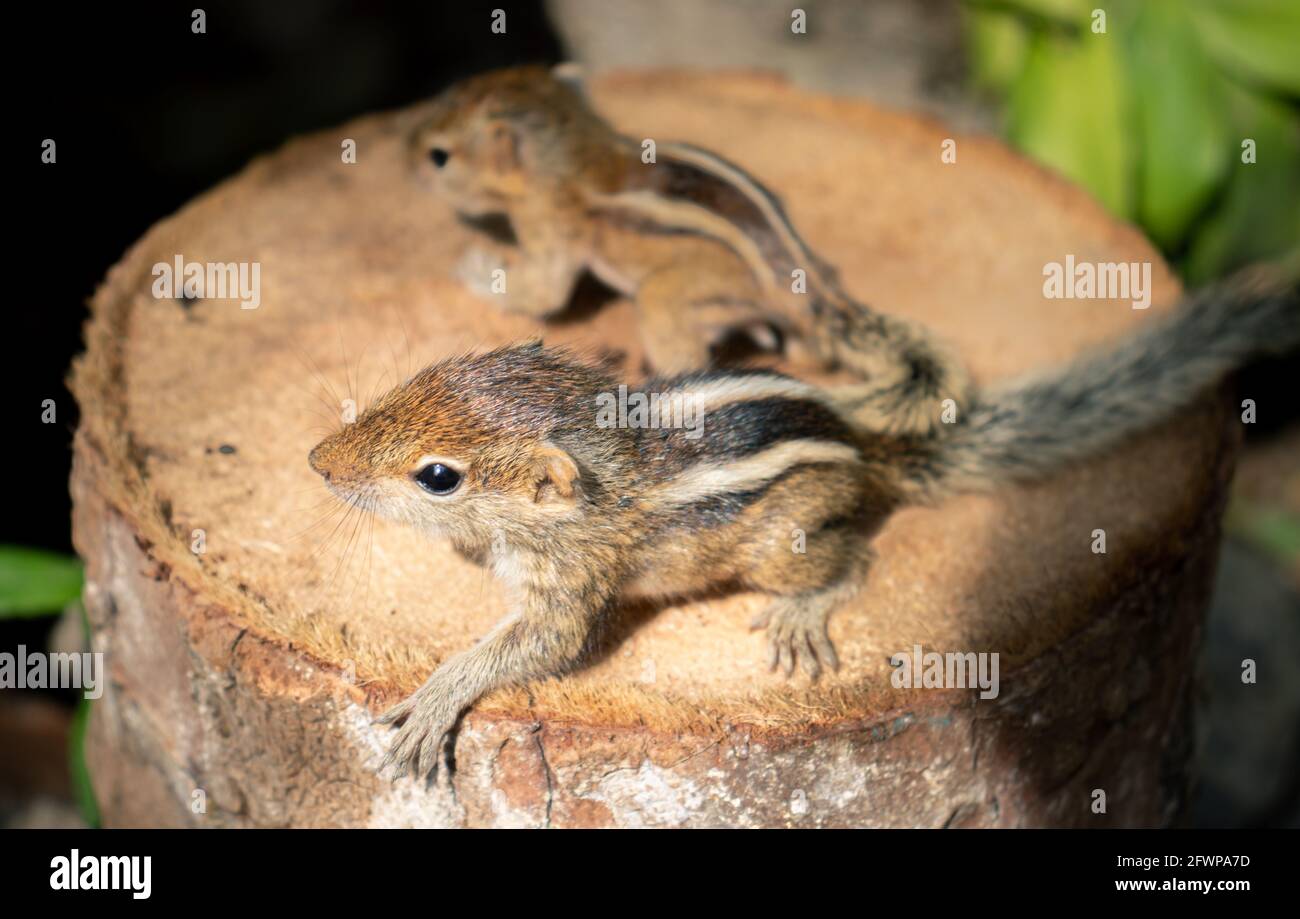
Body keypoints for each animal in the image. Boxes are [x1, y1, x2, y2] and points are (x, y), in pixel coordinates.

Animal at [308, 263, 1298, 779]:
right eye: (418, 380)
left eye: (438, 476)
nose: (318, 461)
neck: (599, 471)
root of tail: (864, 441)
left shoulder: (573, 590)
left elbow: (529, 648)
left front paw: (438, 696)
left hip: (780, 546)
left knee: (849, 559)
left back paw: (802, 612)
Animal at [407, 64, 970, 436]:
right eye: (456, 87)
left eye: (439, 157)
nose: (406, 153)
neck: (573, 148)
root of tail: (810, 290)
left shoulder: (551, 227)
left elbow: (543, 292)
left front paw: (477, 268)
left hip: (671, 297)